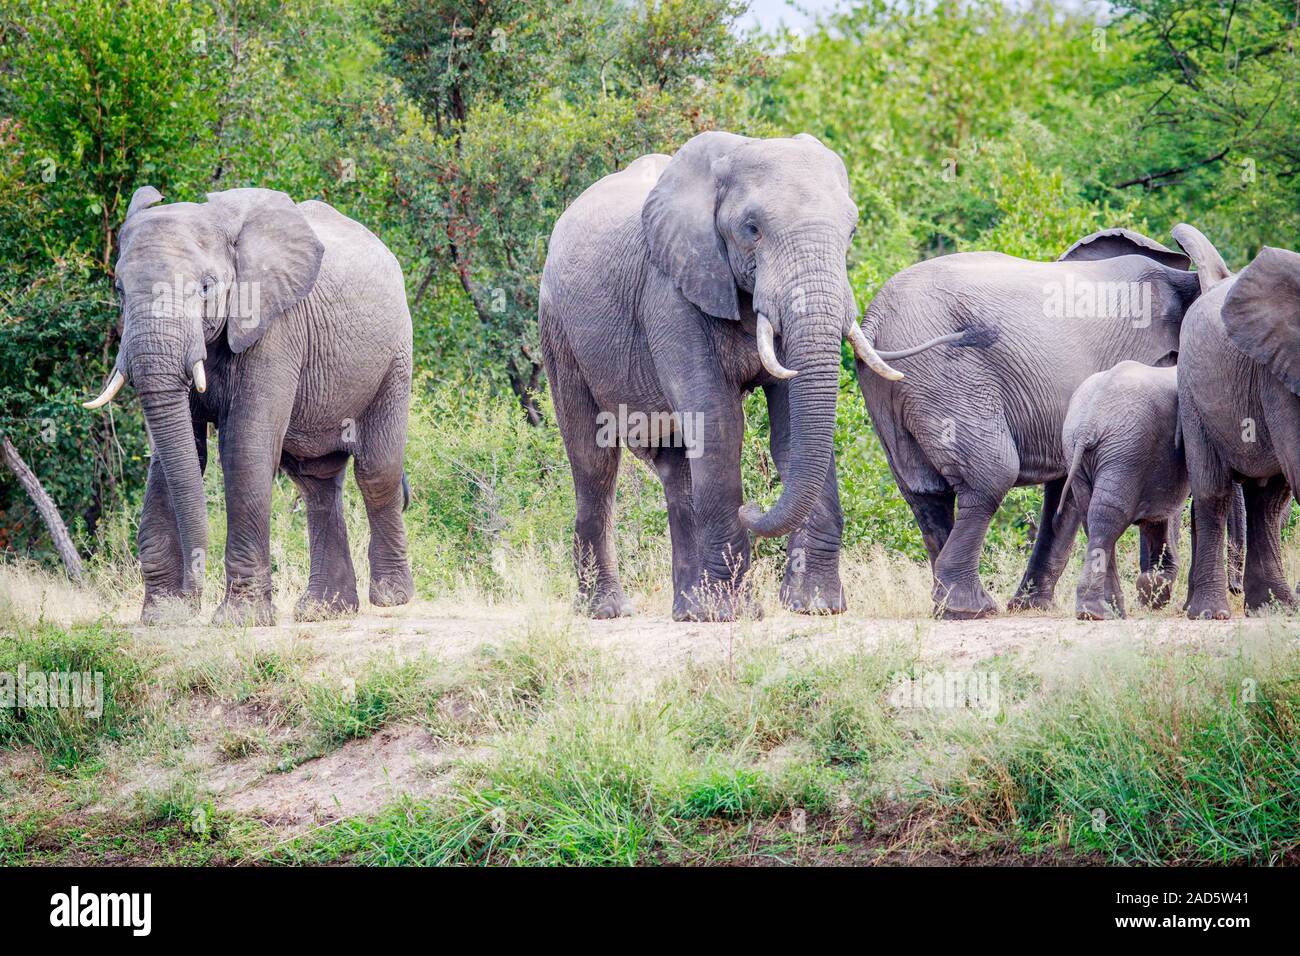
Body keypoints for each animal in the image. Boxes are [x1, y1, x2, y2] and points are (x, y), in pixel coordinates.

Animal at [82, 186, 414, 626]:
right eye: (120, 290)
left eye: (206, 287)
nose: (193, 598)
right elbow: (177, 456)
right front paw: (163, 617)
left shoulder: (274, 326)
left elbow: (245, 449)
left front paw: (239, 620)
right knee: (316, 481)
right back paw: (323, 610)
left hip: (394, 356)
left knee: (377, 470)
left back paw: (391, 598)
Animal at [538, 131, 948, 621]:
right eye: (752, 229)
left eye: (851, 231)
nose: (753, 506)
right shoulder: (670, 291)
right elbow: (717, 423)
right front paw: (734, 613)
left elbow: (790, 430)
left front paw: (814, 606)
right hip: (557, 328)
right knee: (593, 460)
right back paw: (609, 610)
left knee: (676, 470)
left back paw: (691, 611)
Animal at [1058, 361, 1189, 619]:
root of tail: (1088, 425)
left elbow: (1156, 518)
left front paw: (1153, 589)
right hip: (1126, 452)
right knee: (1108, 519)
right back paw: (1098, 612)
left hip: (1088, 451)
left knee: (1093, 518)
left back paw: (1106, 612)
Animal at [1174, 223, 1300, 619]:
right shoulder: (1276, 375)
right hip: (1192, 394)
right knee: (1213, 491)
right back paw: (1210, 613)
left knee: (1269, 502)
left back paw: (1274, 609)